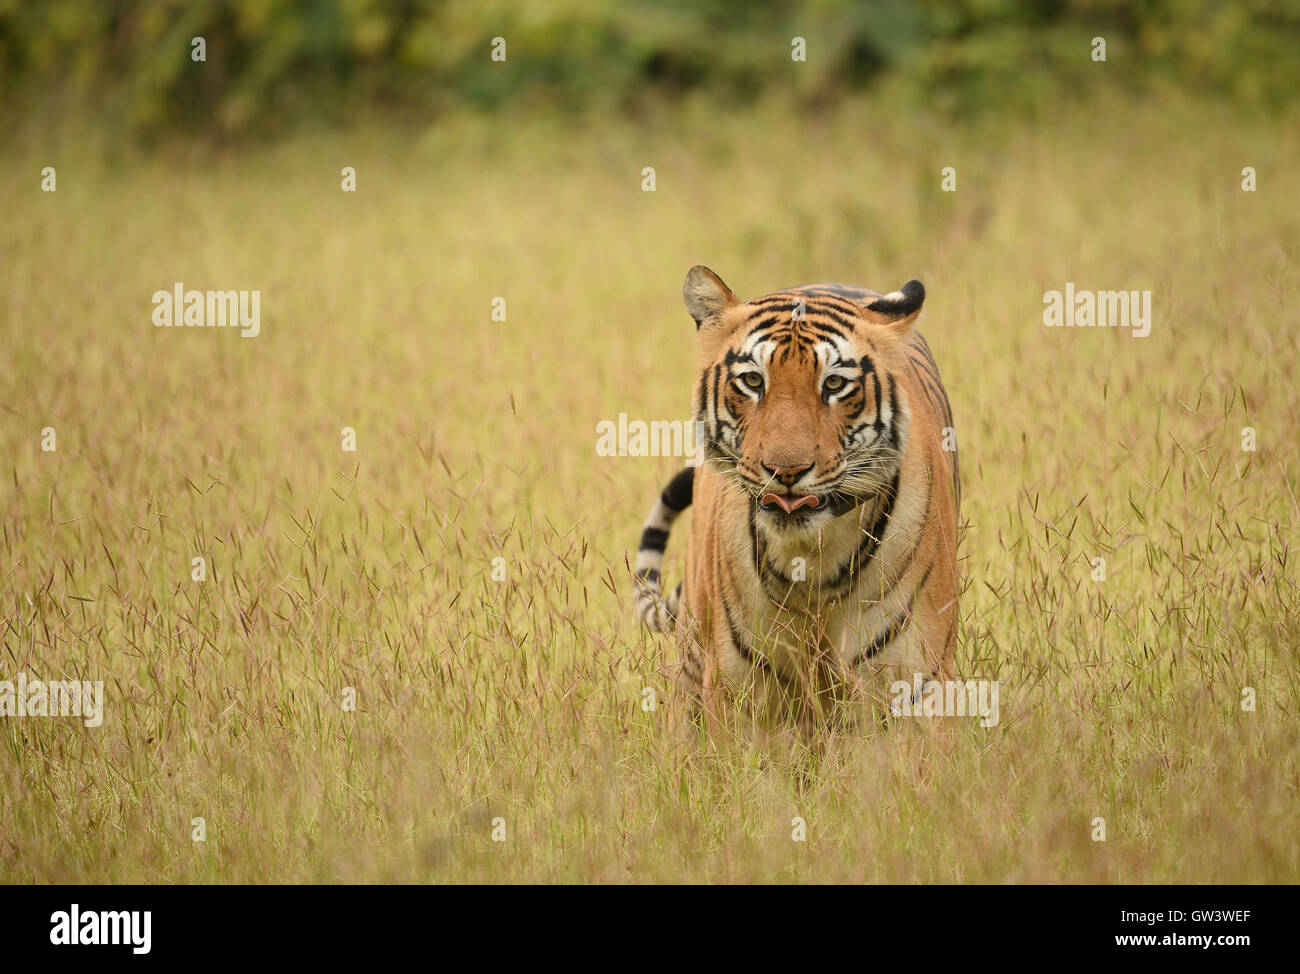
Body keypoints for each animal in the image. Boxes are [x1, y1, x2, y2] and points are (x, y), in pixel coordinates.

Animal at [633, 265, 960, 731]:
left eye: (835, 383)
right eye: (753, 380)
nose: (785, 471)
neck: (814, 562)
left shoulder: (916, 675)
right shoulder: (739, 688)